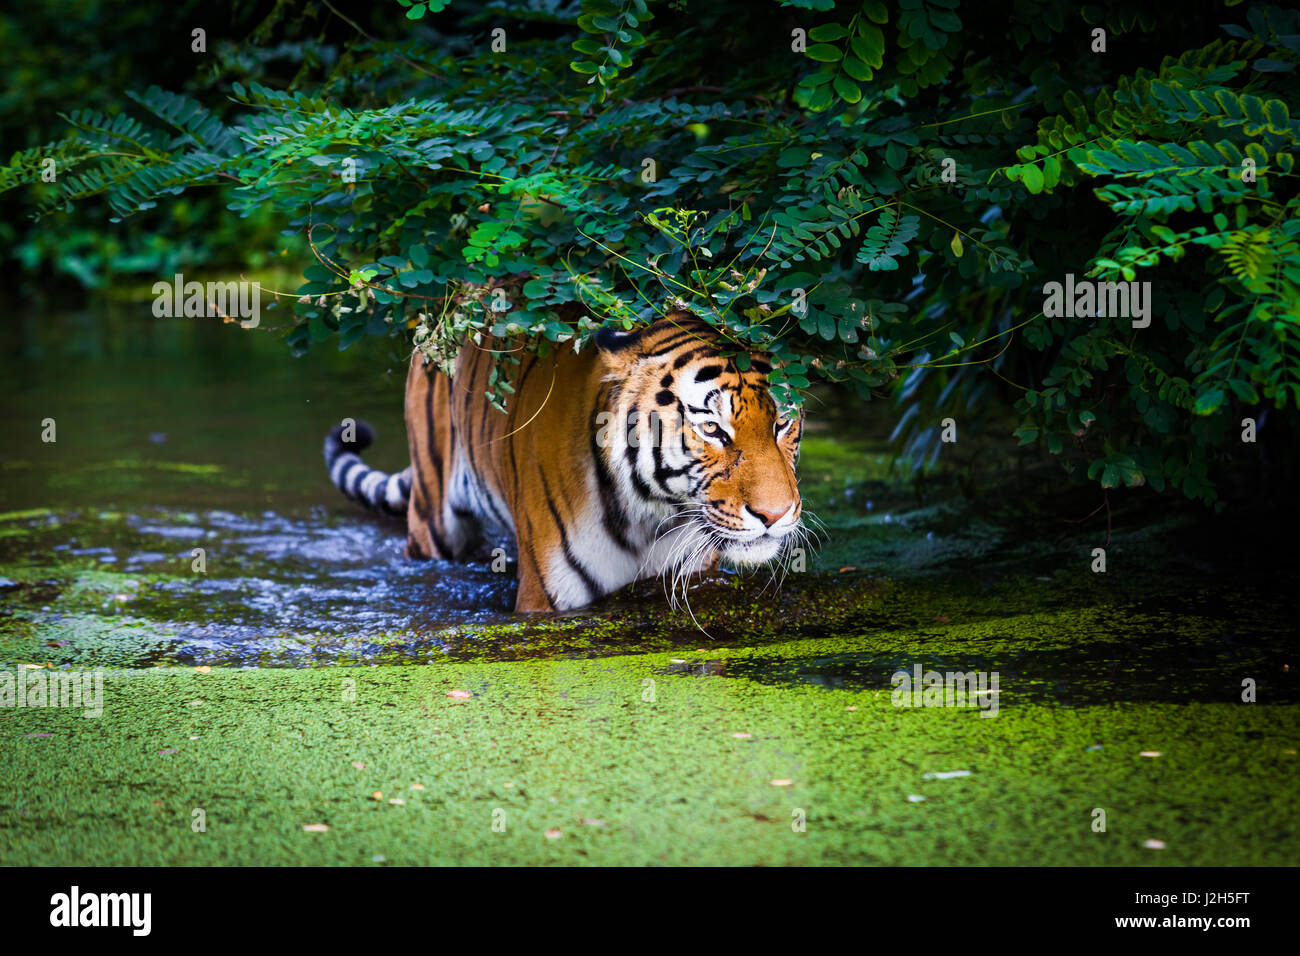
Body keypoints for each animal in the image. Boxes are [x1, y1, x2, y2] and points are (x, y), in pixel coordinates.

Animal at [323, 311, 804, 613]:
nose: (776, 515)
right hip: (433, 518)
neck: (651, 517)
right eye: (711, 429)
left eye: (782, 423)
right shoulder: (545, 597)